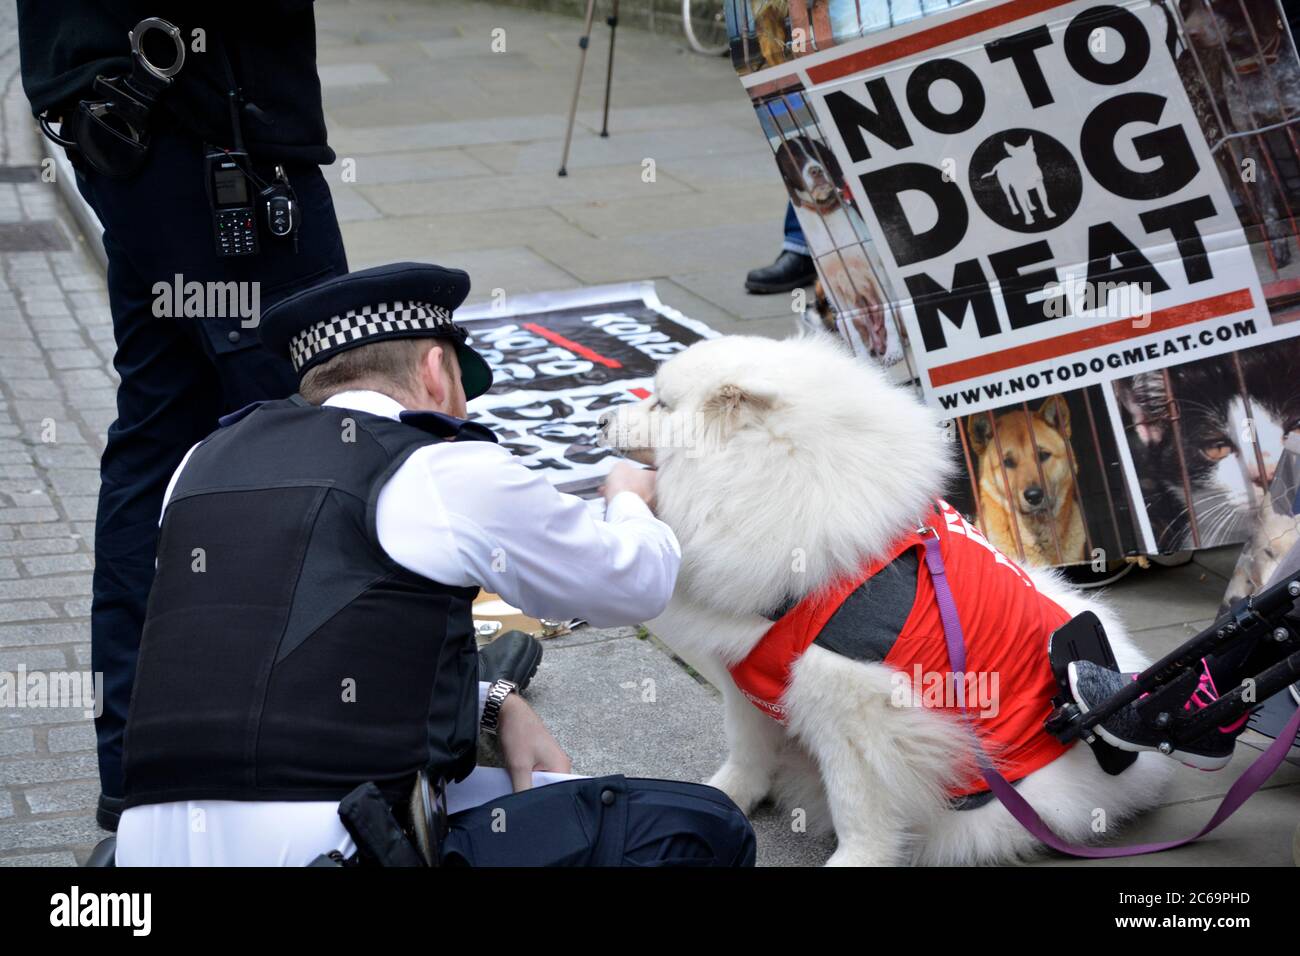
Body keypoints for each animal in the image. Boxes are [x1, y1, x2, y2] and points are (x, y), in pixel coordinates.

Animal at [603, 335, 1175, 868]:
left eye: (661, 404)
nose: (601, 420)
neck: (775, 476)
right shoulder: (747, 671)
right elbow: (747, 749)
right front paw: (723, 797)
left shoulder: (856, 708)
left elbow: (859, 808)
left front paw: (852, 860)